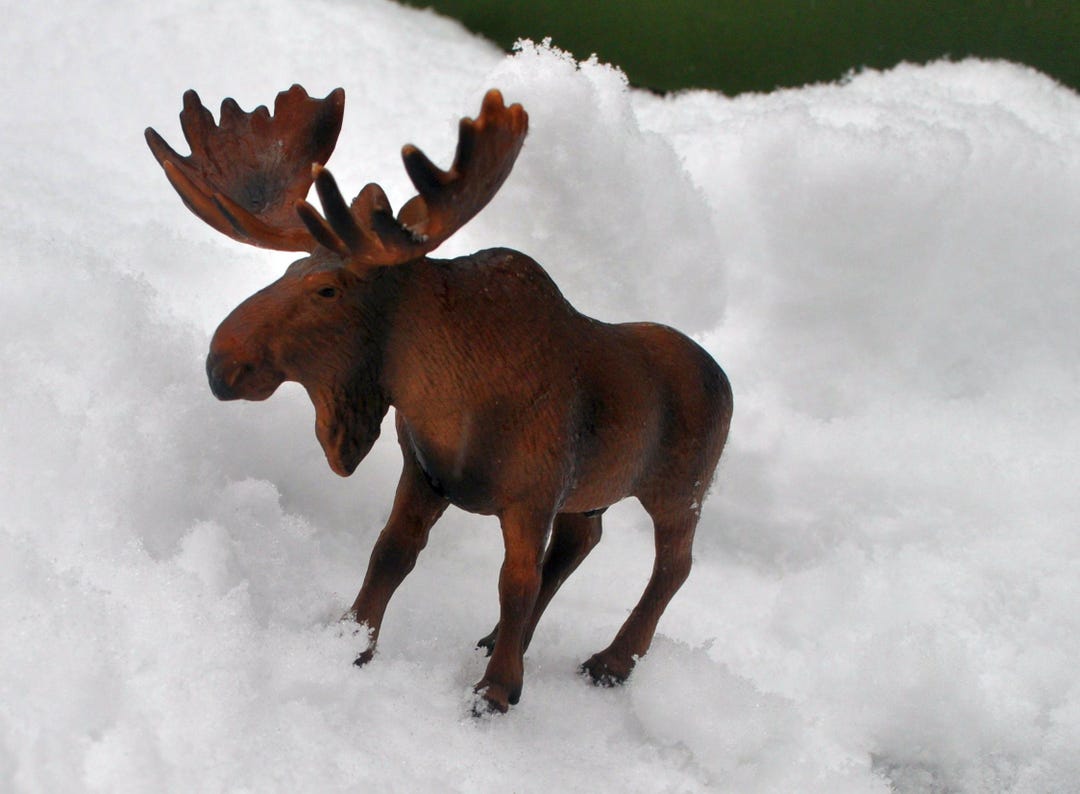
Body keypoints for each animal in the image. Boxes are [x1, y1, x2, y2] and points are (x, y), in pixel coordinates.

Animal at [146, 84, 732, 713]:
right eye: (292, 266)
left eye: (327, 289)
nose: (219, 362)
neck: (444, 394)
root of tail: (724, 382)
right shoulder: (426, 472)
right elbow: (391, 551)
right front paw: (350, 639)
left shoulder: (532, 496)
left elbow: (514, 582)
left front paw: (496, 691)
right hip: (591, 495)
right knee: (583, 540)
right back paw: (504, 639)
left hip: (678, 491)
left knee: (673, 565)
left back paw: (612, 662)